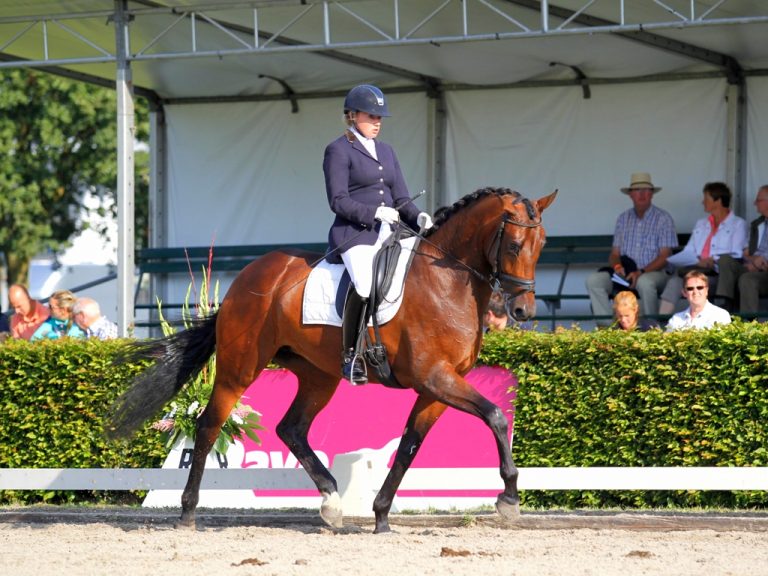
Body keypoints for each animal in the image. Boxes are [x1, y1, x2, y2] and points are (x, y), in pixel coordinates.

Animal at [109, 186, 557, 533]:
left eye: (543, 246)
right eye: (514, 245)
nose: (523, 311)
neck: (447, 281)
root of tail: (247, 276)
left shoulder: (438, 386)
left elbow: (409, 446)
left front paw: (381, 516)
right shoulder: (435, 378)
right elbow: (495, 416)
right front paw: (509, 499)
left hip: (319, 375)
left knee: (291, 428)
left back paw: (331, 501)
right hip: (240, 367)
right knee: (208, 425)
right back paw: (187, 512)